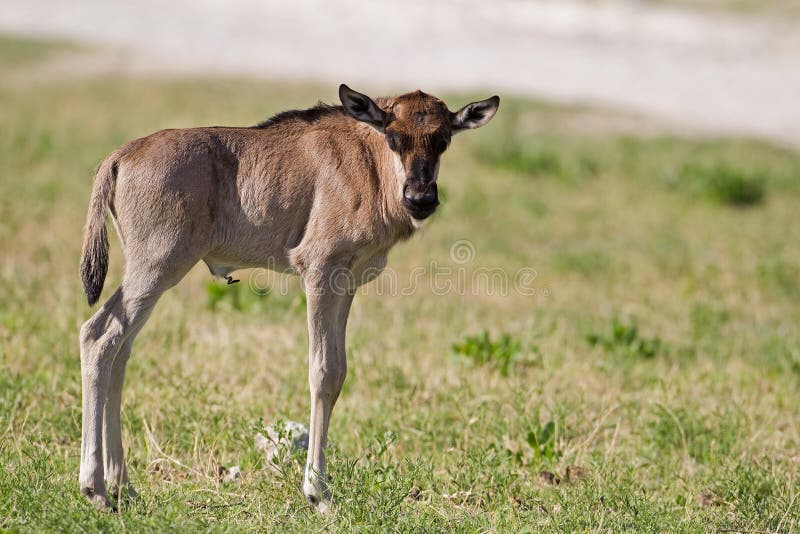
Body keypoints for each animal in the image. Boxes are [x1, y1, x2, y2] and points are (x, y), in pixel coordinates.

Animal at [78, 84, 499, 511]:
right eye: (394, 137)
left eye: (443, 139)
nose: (420, 199)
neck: (368, 162)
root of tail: (122, 155)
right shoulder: (319, 273)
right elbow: (323, 372)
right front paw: (317, 491)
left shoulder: (347, 283)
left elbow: (340, 371)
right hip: (156, 268)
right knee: (98, 337)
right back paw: (94, 488)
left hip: (151, 277)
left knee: (120, 351)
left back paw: (122, 485)